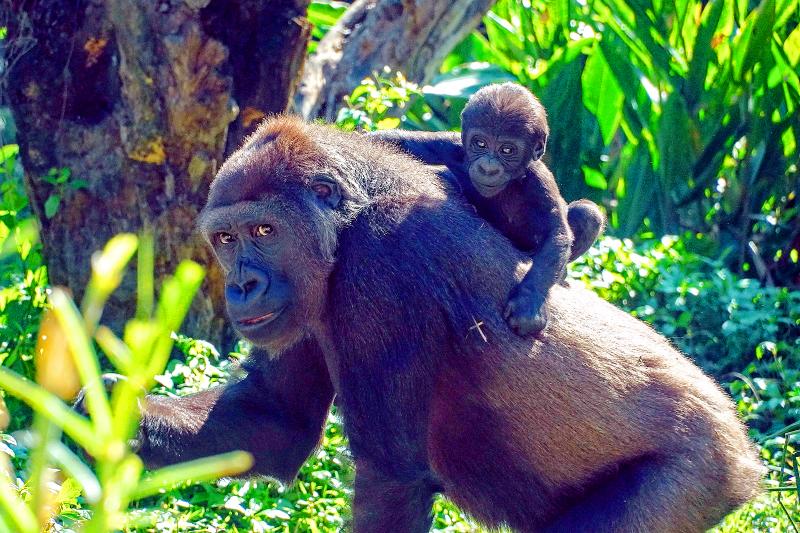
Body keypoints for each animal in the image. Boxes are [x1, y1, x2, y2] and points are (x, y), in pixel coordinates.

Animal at [130, 115, 762, 532]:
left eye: (264, 231)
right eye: (225, 239)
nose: (243, 287)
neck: (351, 217)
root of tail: (744, 452)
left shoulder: (382, 263)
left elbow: (392, 480)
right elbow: (274, 421)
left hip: (696, 475)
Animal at [370, 83, 604, 337]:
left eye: (507, 150)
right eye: (480, 144)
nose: (488, 168)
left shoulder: (539, 181)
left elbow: (557, 234)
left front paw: (529, 303)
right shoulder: (452, 147)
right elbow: (395, 141)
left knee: (587, 214)